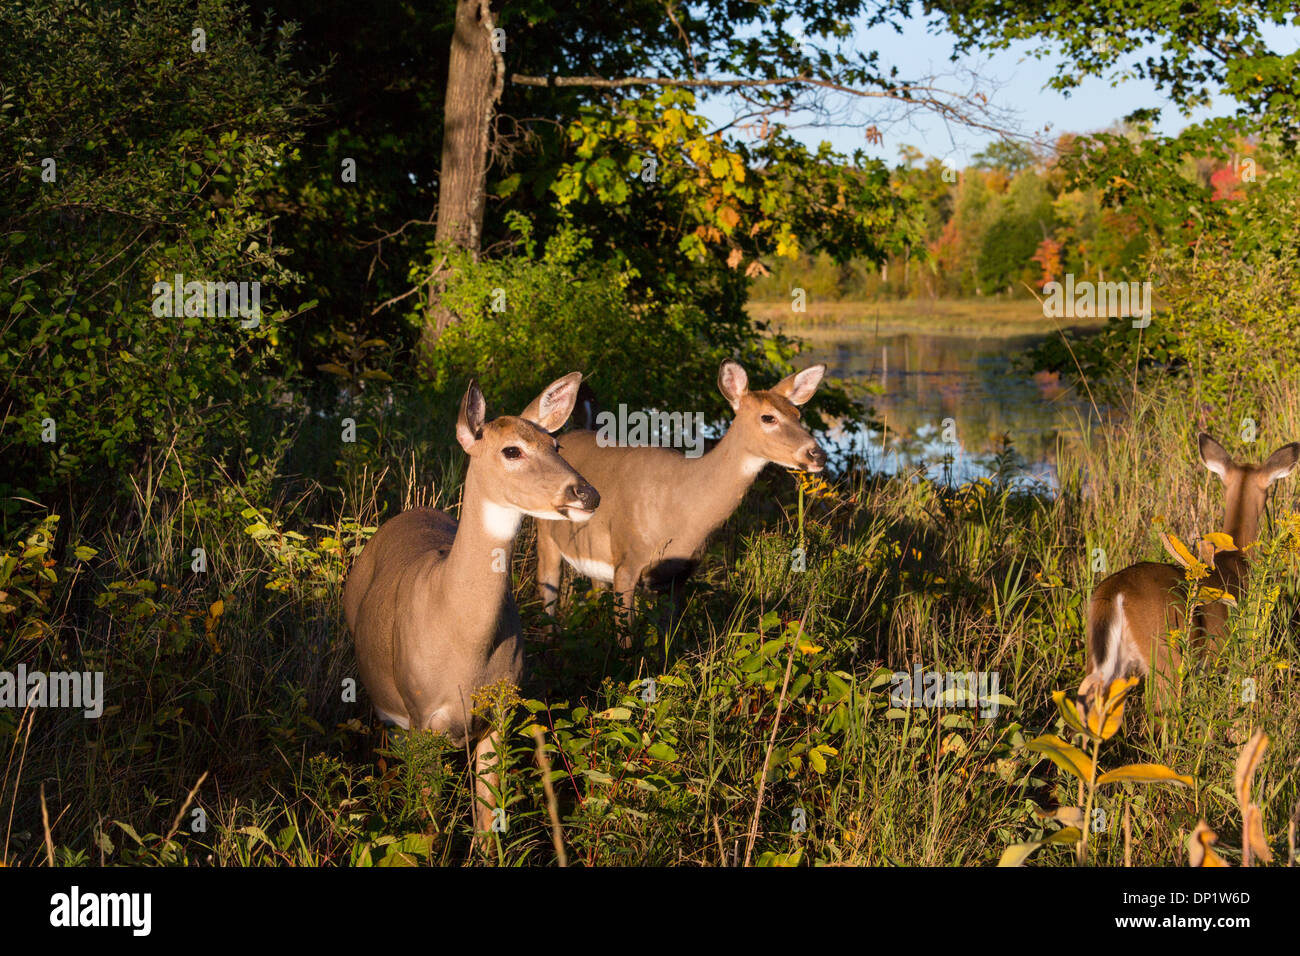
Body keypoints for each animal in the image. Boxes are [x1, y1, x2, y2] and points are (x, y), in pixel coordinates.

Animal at [343, 373, 599, 836]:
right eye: (512, 450)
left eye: (556, 445)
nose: (587, 494)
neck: (465, 642)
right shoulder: (423, 716)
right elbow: (428, 824)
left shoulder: (500, 714)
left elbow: (487, 821)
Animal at [535, 359, 827, 646]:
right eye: (768, 417)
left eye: (798, 415)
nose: (818, 454)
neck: (681, 507)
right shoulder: (627, 560)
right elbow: (626, 642)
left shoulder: (679, 576)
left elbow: (668, 639)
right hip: (546, 533)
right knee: (548, 593)